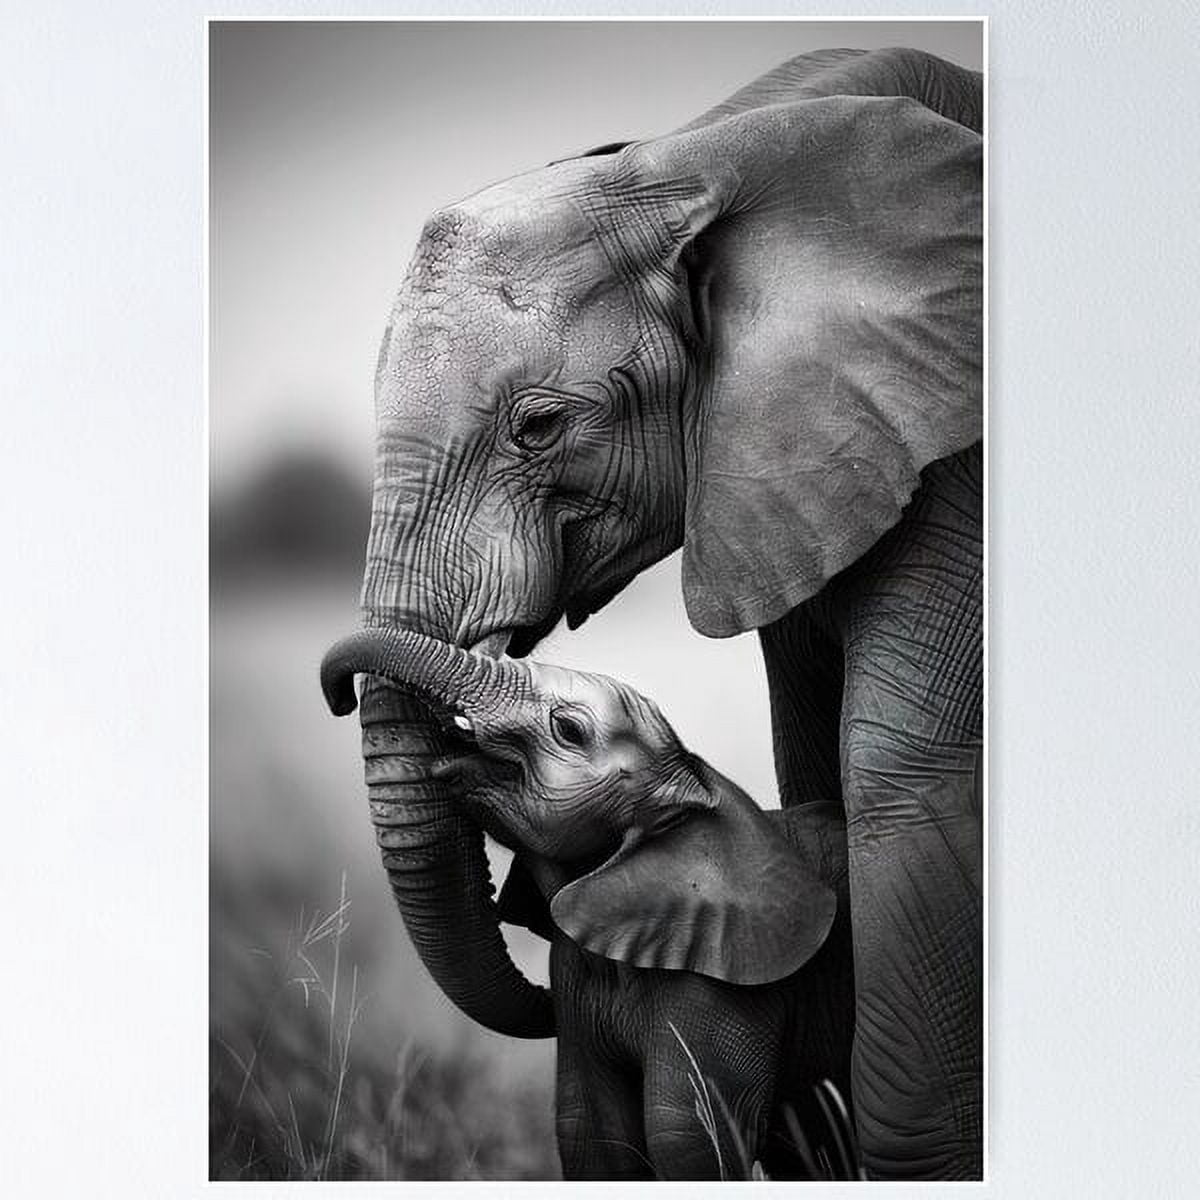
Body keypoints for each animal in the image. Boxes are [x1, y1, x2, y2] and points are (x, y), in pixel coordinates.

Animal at [321, 626, 856, 1179]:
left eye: (569, 730)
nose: (341, 700)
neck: (694, 794)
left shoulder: (723, 989)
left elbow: (685, 1136)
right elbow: (593, 1131)